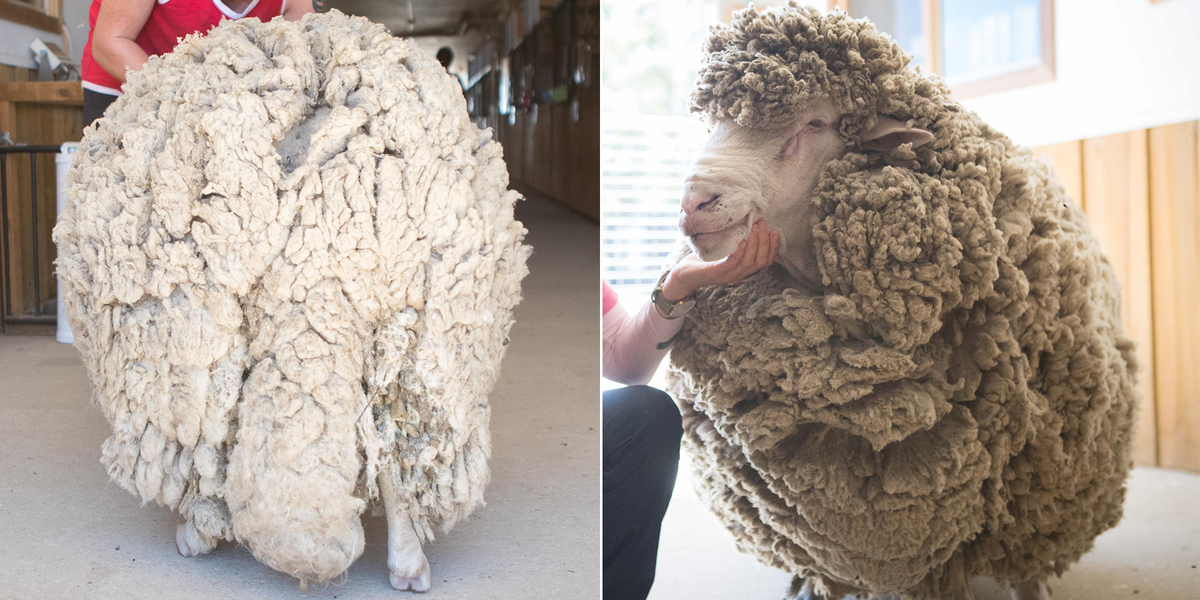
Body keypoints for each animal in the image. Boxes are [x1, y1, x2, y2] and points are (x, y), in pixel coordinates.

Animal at [52, 11, 530, 591]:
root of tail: (323, 223)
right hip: (422, 345)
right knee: (390, 445)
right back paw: (408, 560)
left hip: (186, 342)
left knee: (211, 445)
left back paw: (198, 532)